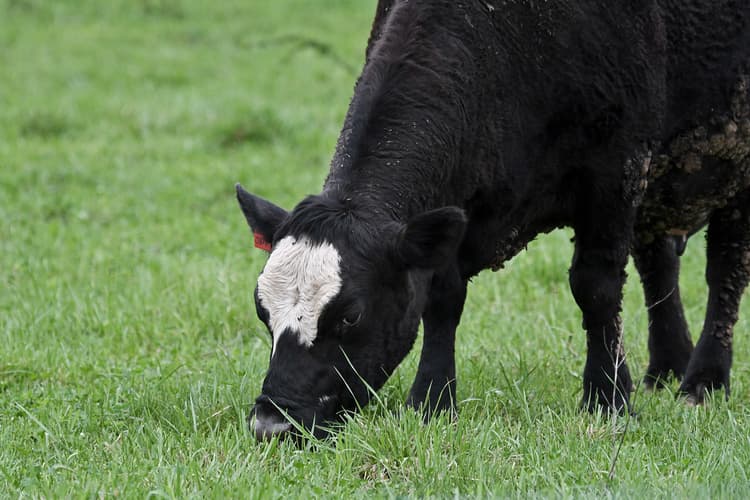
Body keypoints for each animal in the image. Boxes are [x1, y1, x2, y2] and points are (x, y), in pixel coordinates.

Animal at [236, 0, 750, 440]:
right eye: (263, 310)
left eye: (350, 315)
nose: (272, 423)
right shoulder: (456, 203)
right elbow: (442, 300)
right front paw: (432, 402)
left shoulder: (616, 172)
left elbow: (596, 288)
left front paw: (608, 400)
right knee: (659, 264)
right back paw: (666, 367)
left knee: (725, 269)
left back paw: (704, 381)